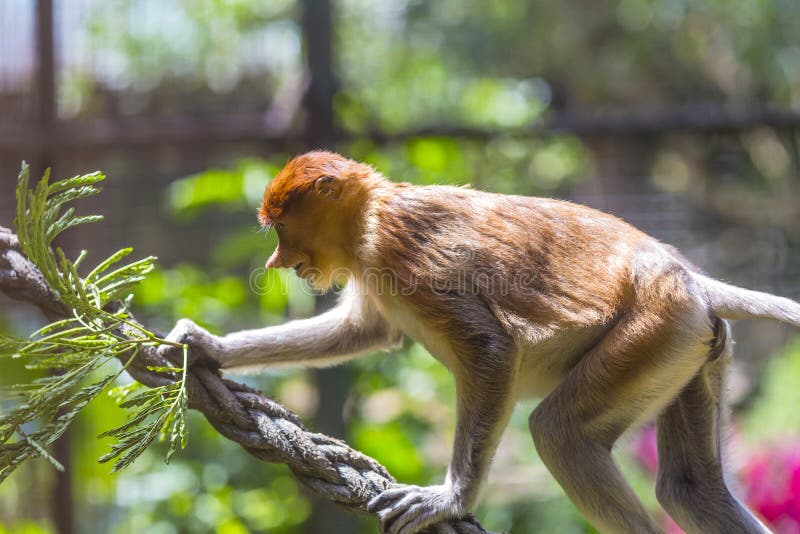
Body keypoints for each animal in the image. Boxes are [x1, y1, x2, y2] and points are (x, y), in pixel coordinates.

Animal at [159, 150, 800, 534]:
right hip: (691, 344)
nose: (277, 262)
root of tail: (687, 277)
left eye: (282, 227)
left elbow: (488, 347)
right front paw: (201, 345)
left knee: (559, 432)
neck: (372, 212)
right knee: (690, 490)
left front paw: (448, 500)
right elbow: (363, 331)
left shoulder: (402, 251)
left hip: (652, 330)